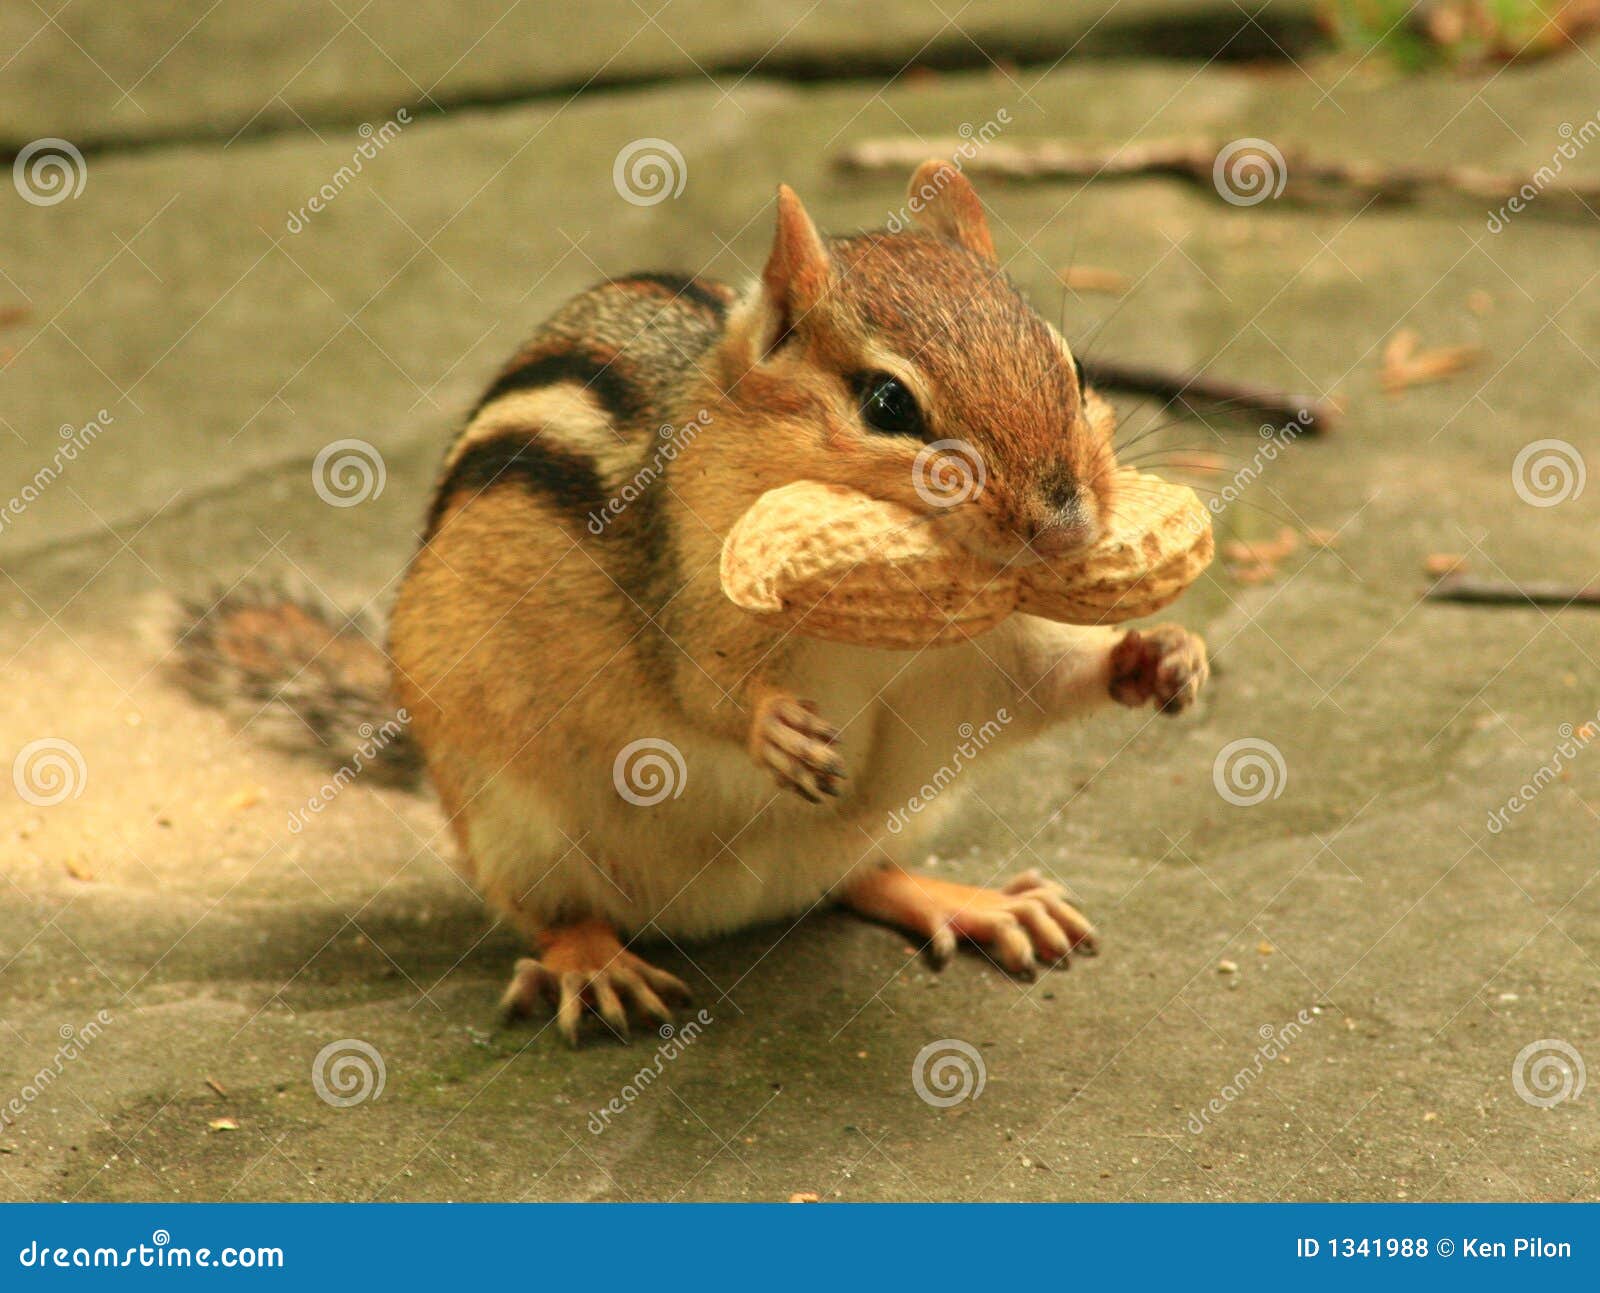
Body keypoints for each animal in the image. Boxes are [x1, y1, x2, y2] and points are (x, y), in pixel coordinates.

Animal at [177, 159, 1208, 1044]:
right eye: (887, 403)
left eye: (1074, 370)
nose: (1065, 524)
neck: (877, 630)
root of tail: (725, 906)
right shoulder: (684, 592)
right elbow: (696, 685)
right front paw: (774, 727)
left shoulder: (977, 658)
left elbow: (1040, 682)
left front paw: (1160, 655)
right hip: (510, 819)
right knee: (553, 914)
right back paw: (595, 964)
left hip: (895, 814)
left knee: (862, 875)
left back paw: (973, 900)